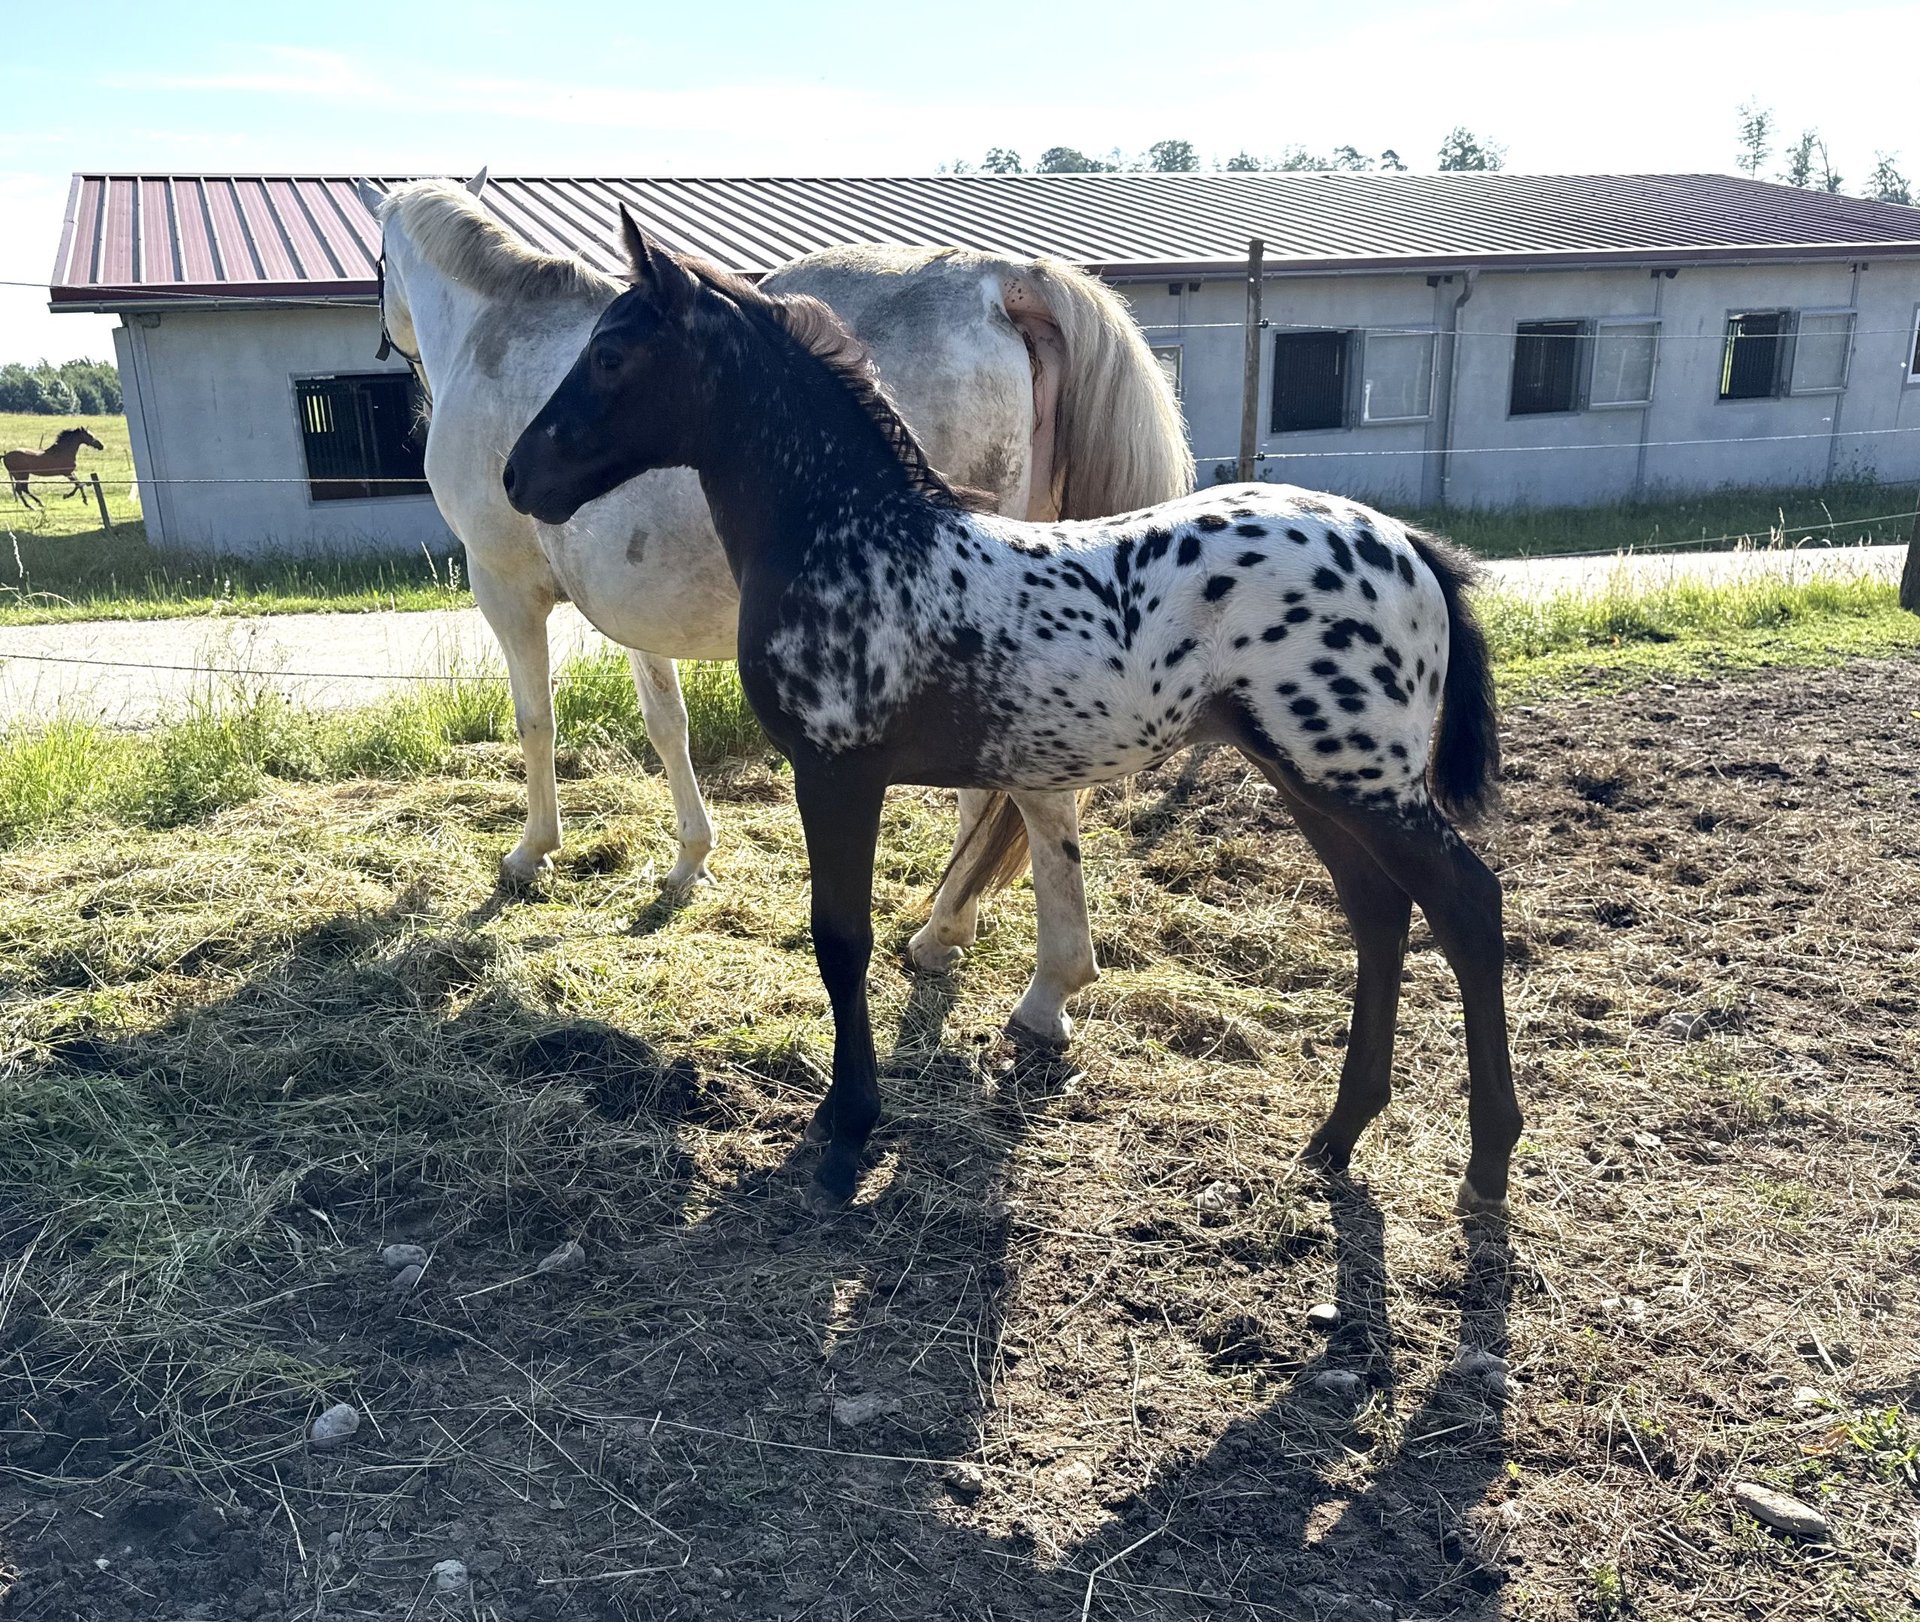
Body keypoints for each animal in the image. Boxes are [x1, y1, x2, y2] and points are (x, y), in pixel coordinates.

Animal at [355, 173, 1194, 1047]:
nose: (520, 474)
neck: (494, 327)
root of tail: (1010, 280)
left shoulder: (503, 585)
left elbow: (534, 722)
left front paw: (532, 854)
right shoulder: (634, 613)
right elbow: (667, 725)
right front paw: (689, 859)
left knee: (1038, 796)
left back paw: (1035, 983)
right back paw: (948, 927)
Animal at [503, 217, 1522, 1218]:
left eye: (610, 354)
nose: (519, 477)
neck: (850, 535)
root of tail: (1412, 548)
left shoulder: (837, 771)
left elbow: (841, 941)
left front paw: (848, 1133)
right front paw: (840, 1115)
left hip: (1360, 776)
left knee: (1466, 906)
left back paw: (1485, 1163)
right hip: (1311, 774)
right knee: (1379, 915)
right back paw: (1336, 1137)